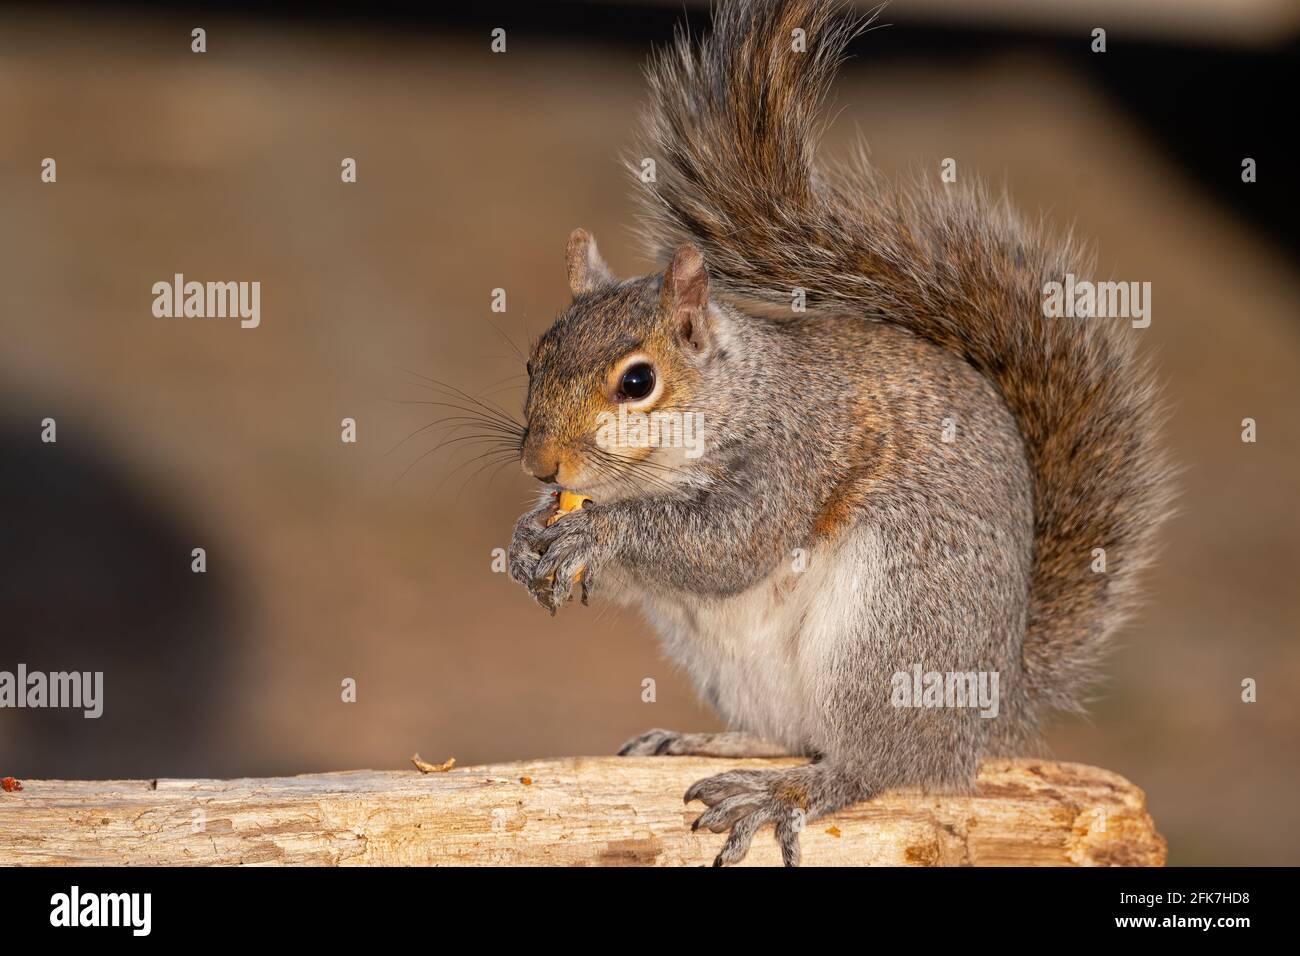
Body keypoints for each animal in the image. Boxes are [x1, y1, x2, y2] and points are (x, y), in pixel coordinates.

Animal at [506, 0, 1174, 866]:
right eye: (533, 359)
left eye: (638, 382)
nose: (539, 463)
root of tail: (984, 714)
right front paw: (527, 541)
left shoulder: (796, 450)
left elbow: (728, 545)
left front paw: (600, 533)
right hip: (740, 667)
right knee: (792, 732)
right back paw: (709, 743)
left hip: (890, 629)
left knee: (872, 763)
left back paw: (786, 792)